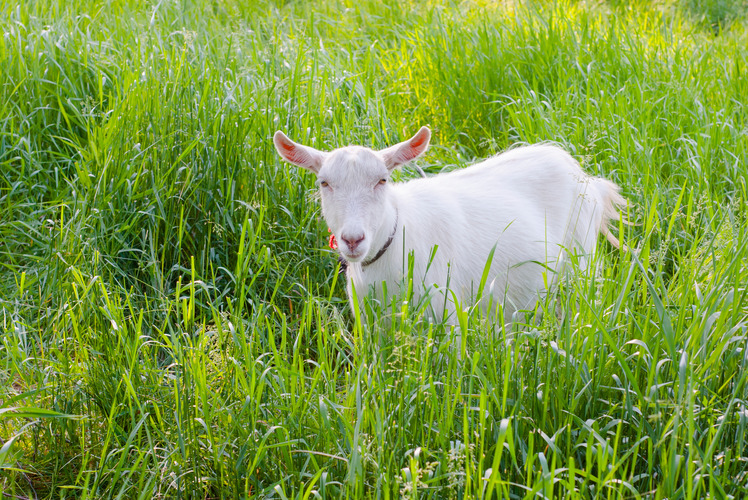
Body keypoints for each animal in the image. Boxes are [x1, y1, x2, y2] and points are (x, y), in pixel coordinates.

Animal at [273, 127, 626, 324]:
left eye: (382, 180)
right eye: (324, 183)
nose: (353, 239)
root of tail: (587, 179)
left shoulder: (445, 315)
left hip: (583, 266)